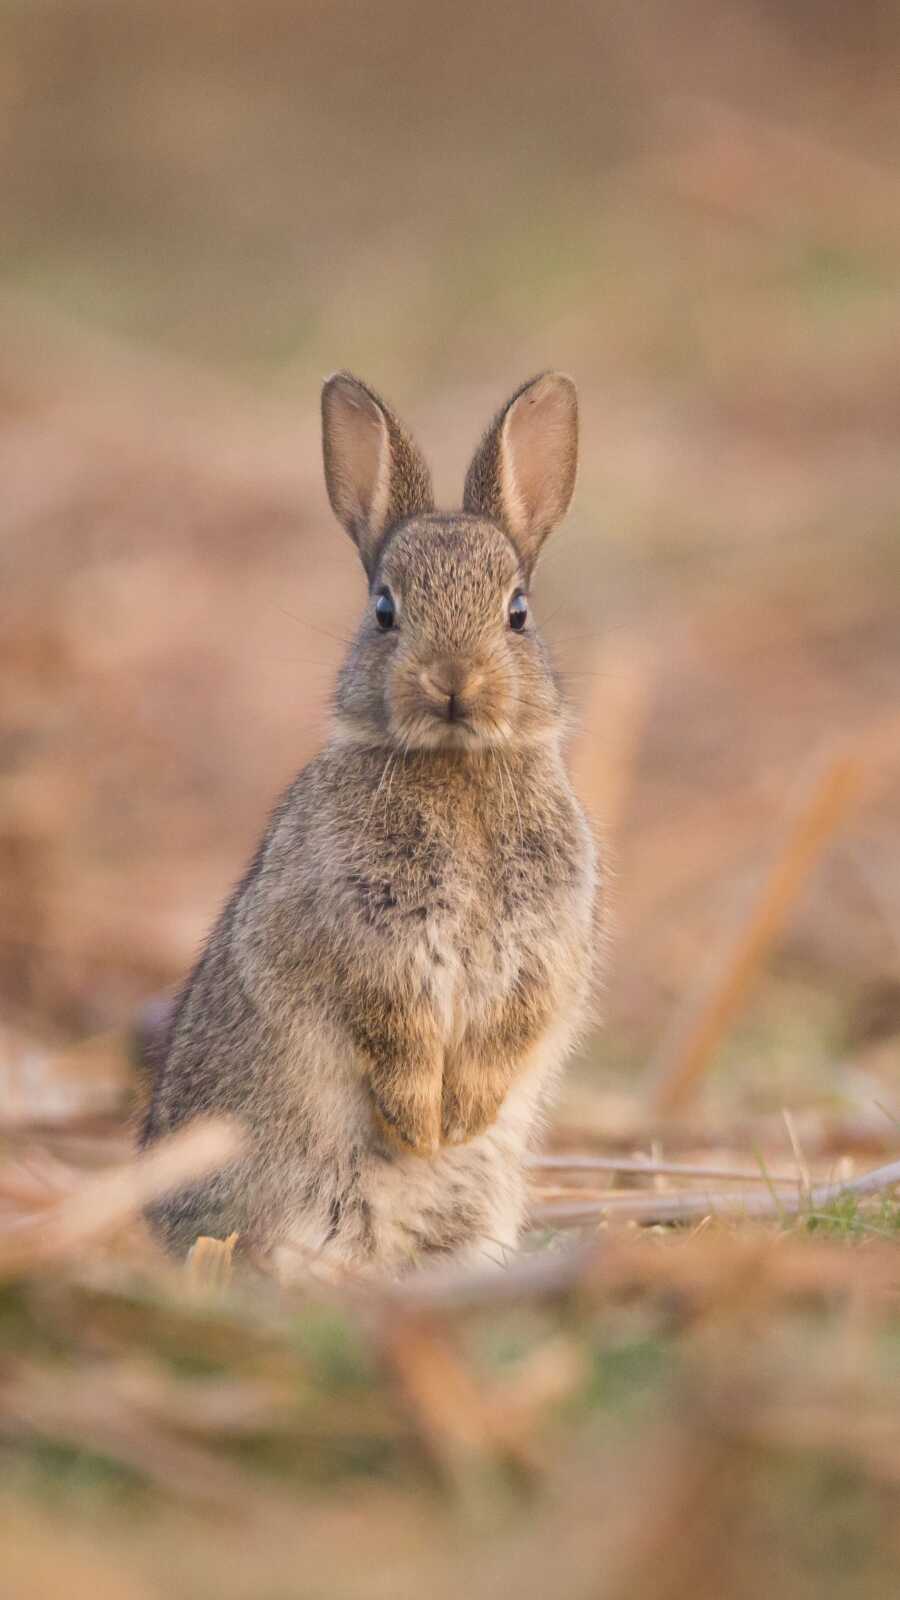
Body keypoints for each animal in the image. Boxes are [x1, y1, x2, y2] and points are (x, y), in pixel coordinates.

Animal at [141, 371, 599, 1276]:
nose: (453, 681)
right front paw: (422, 1127)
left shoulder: (544, 946)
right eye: (385, 609)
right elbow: (394, 1029)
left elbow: (512, 1025)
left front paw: (461, 1120)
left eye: (518, 612)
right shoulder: (366, 940)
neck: (455, 764)